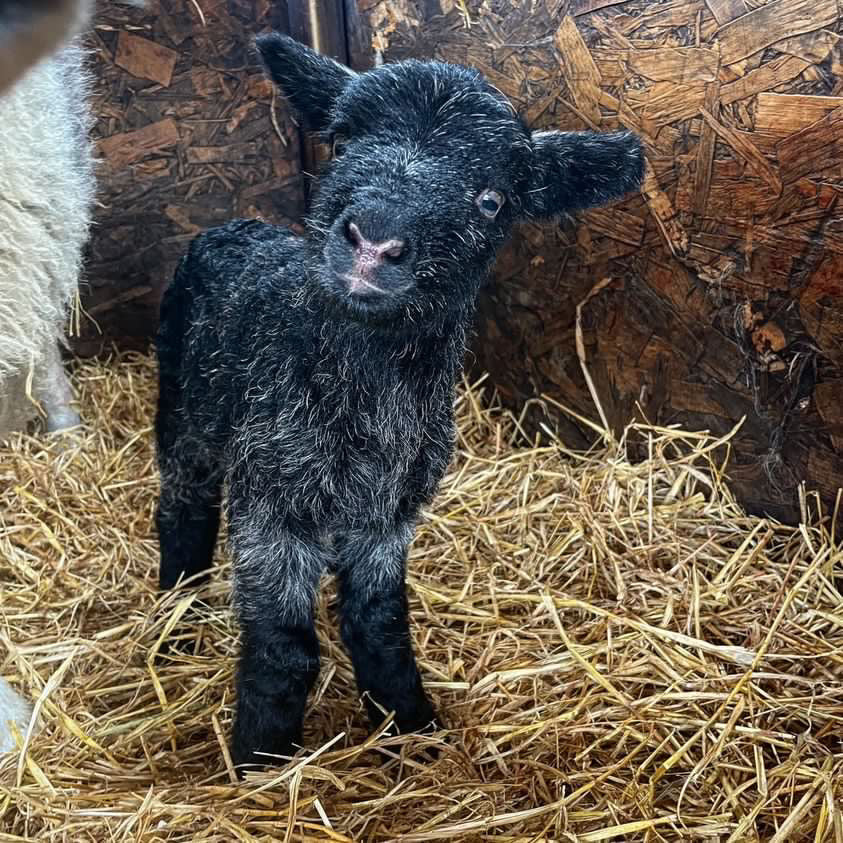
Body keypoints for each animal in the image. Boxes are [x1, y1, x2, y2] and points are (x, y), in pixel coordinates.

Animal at [154, 32, 645, 772]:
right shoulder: (273, 500)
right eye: (340, 142)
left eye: (491, 200)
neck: (364, 398)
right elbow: (283, 646)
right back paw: (173, 622)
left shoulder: (390, 514)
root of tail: (231, 225)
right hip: (183, 409)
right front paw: (260, 762)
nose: (374, 241)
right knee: (181, 508)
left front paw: (411, 726)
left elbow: (380, 621)